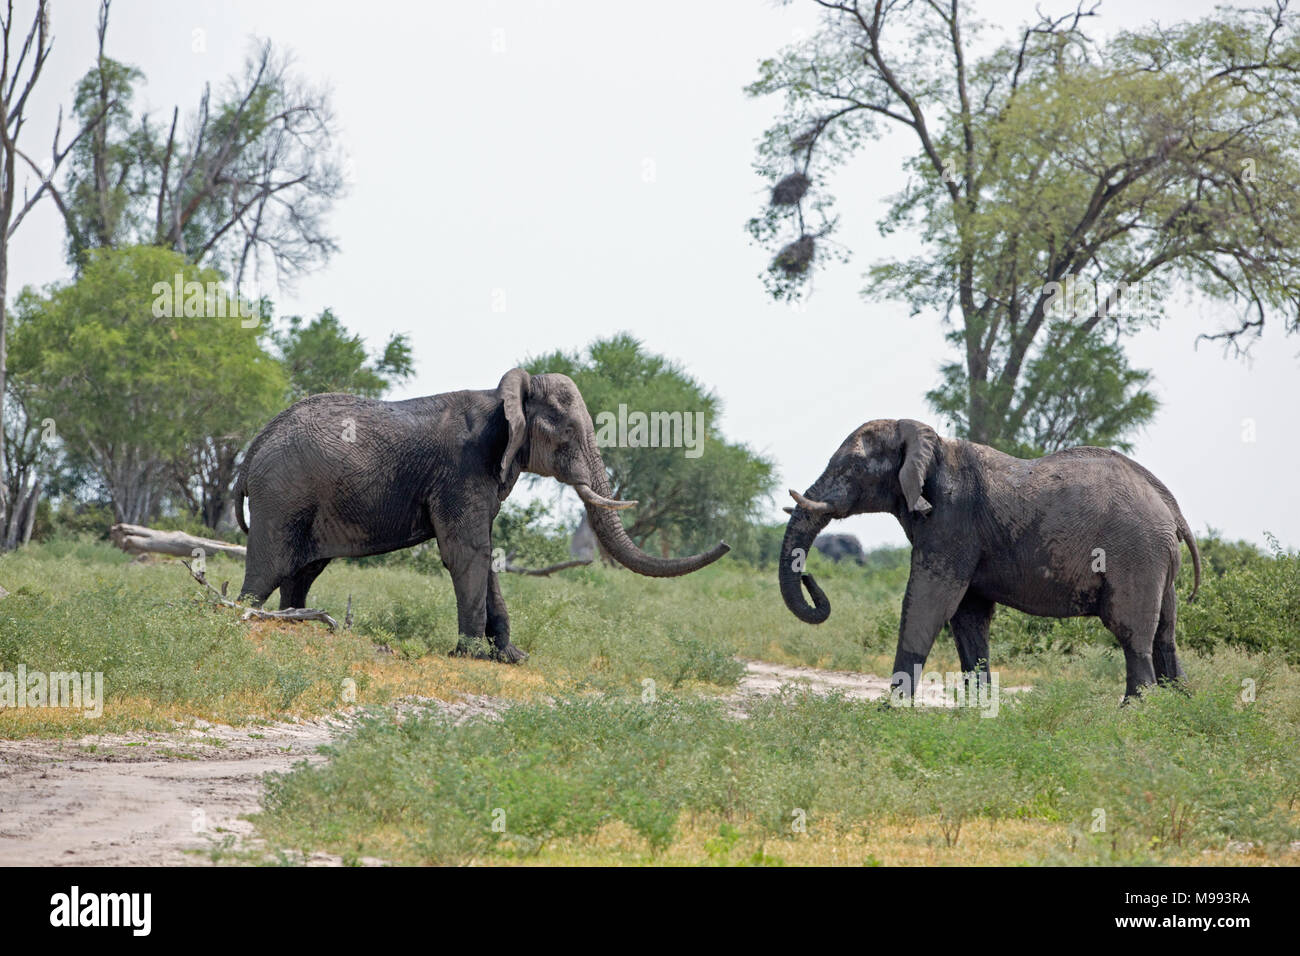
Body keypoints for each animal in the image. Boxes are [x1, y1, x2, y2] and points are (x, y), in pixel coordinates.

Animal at [233, 369, 730, 661]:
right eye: (568, 432)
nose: (726, 541)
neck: (505, 395)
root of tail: (254, 446)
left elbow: (486, 554)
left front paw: (511, 658)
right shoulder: (463, 468)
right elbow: (467, 552)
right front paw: (472, 655)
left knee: (302, 571)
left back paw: (297, 622)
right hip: (282, 495)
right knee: (266, 571)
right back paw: (243, 620)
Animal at [780, 419, 1201, 700]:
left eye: (852, 467)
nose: (811, 578)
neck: (928, 441)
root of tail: (1172, 508)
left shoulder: (952, 520)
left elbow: (930, 600)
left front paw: (889, 712)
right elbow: (968, 615)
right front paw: (977, 712)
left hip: (1136, 554)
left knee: (1132, 633)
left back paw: (1135, 714)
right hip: (1159, 559)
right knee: (1165, 634)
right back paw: (1179, 709)